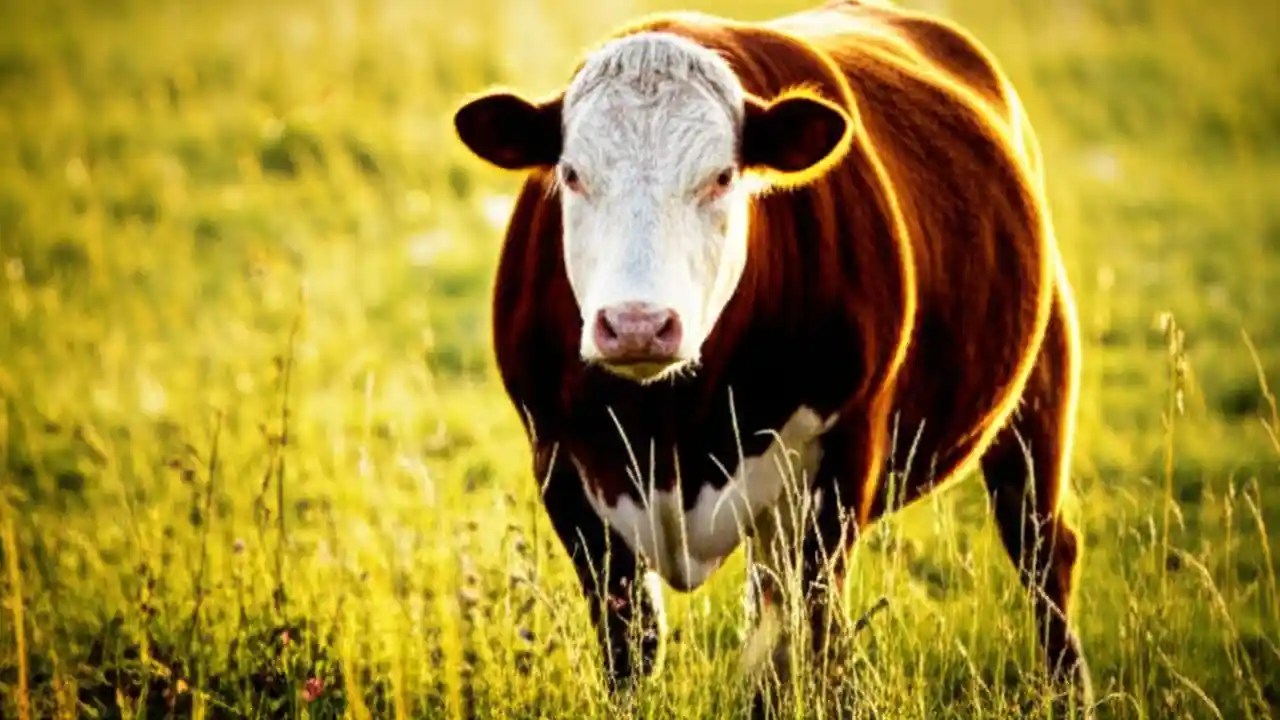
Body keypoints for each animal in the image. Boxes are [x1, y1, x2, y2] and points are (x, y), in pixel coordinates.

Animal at [452, 0, 1093, 713]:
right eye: (570, 174)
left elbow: (820, 635)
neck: (669, 429)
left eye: (723, 176)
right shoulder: (560, 461)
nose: (638, 325)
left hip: (1041, 385)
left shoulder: (844, 456)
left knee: (1043, 553)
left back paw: (1070, 692)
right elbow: (632, 641)